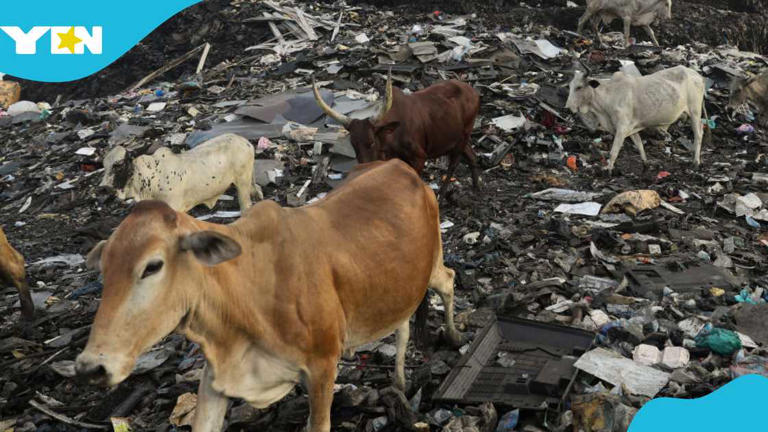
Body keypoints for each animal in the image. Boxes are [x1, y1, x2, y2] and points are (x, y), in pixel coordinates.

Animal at [75, 159, 461, 432]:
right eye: (104, 269)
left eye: (152, 266)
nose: (91, 366)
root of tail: (402, 167)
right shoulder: (218, 377)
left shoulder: (322, 366)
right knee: (403, 324)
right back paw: (399, 381)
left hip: (433, 263)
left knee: (449, 281)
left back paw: (455, 336)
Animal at [99, 133, 262, 213]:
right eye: (104, 166)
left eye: (119, 165)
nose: (103, 187)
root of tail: (244, 141)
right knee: (257, 189)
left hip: (242, 182)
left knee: (246, 205)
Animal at [313, 75, 480, 197]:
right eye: (353, 144)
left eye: (371, 142)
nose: (362, 170)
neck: (391, 137)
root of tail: (473, 91)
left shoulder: (419, 157)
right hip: (457, 137)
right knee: (471, 155)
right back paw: (476, 188)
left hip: (464, 135)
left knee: (454, 163)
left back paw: (442, 196)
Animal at [565, 65, 706, 173]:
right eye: (570, 86)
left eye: (579, 87)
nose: (568, 107)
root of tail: (696, 75)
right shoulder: (632, 127)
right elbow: (639, 145)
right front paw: (645, 164)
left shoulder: (622, 128)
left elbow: (613, 151)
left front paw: (608, 169)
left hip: (694, 111)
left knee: (698, 133)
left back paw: (696, 162)